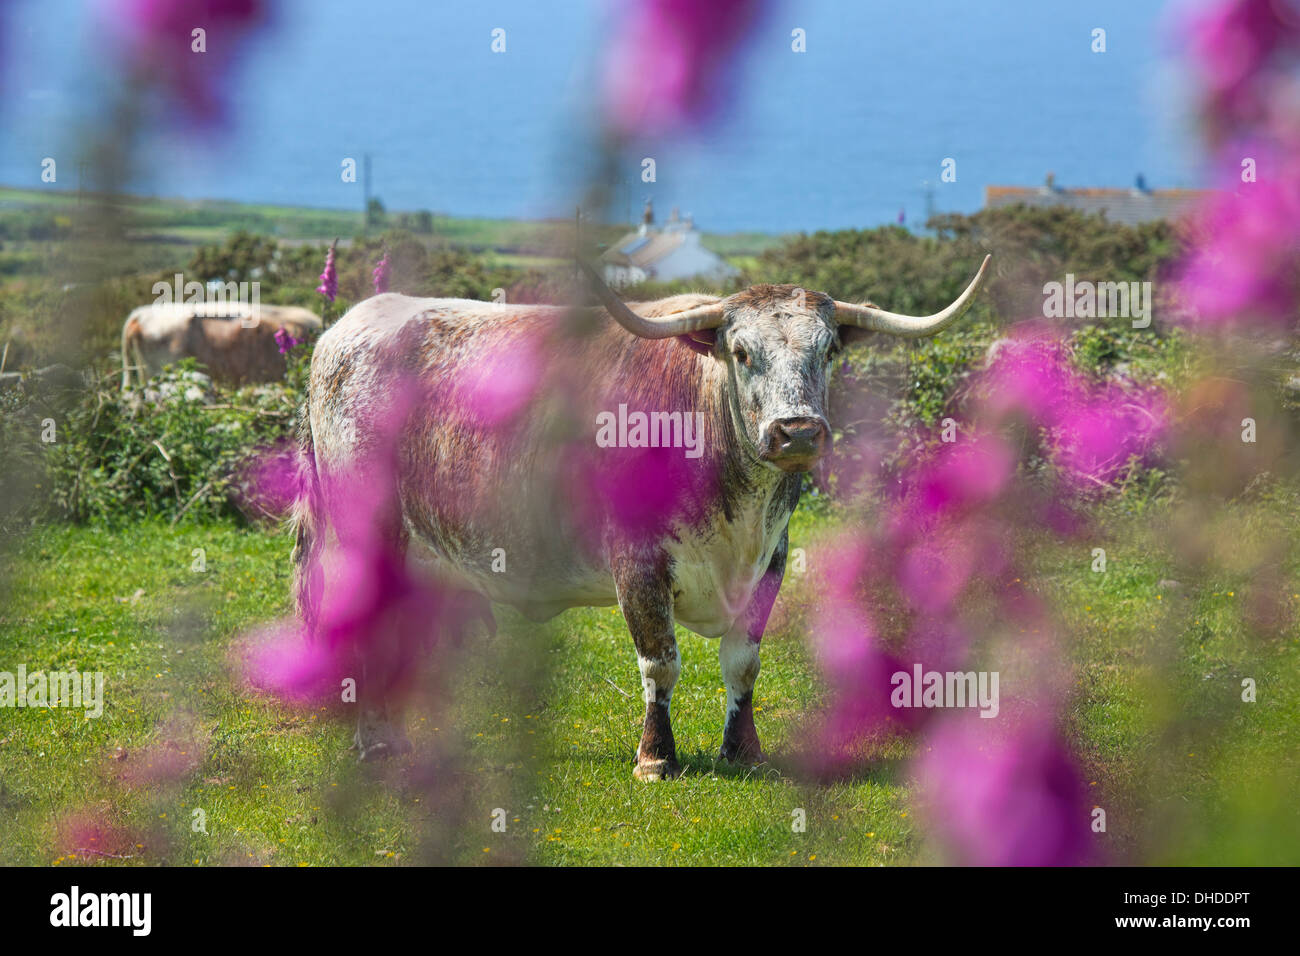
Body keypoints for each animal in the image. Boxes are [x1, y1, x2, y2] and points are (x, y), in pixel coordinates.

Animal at [292, 255, 990, 778]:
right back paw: (377, 744)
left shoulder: (771, 560)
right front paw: (656, 757)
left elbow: (743, 660)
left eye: (827, 351)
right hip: (366, 535)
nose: (796, 432)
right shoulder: (636, 561)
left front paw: (744, 752)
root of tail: (345, 330)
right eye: (741, 352)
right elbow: (660, 661)